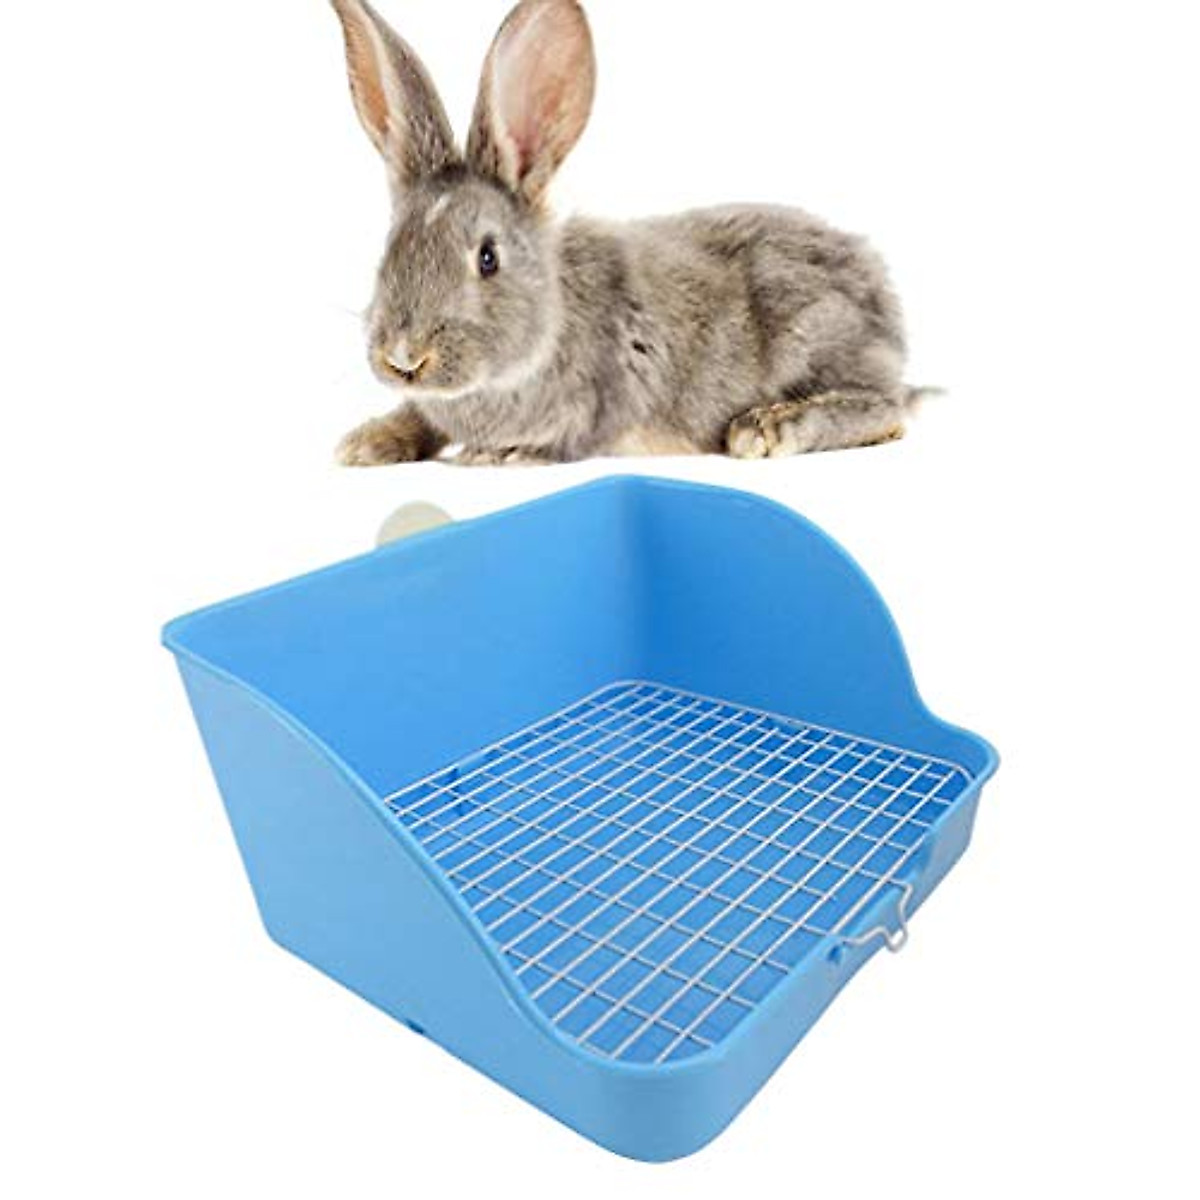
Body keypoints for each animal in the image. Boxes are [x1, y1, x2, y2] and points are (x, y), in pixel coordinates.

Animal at [329, 0, 918, 466]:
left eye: (488, 258)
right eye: (388, 250)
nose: (405, 358)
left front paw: (500, 454)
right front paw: (366, 443)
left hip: (813, 331)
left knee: (887, 409)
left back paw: (770, 427)